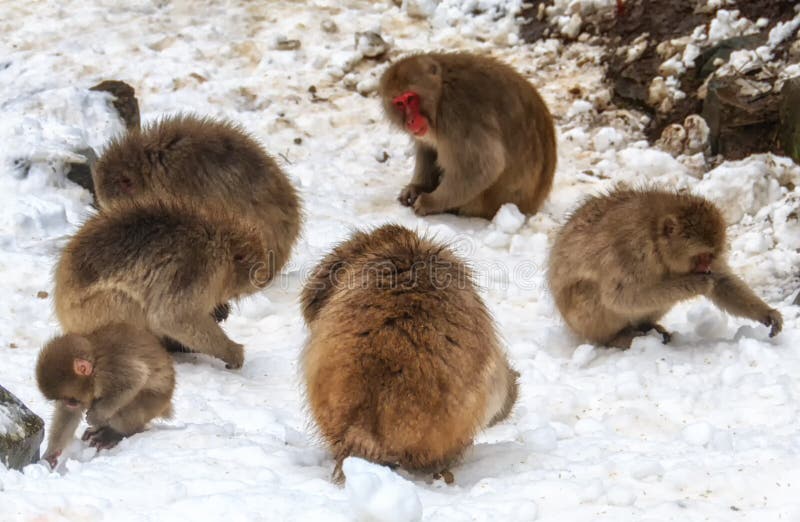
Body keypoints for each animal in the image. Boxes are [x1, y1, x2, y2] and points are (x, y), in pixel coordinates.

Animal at [36, 322, 174, 467]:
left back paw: (114, 434)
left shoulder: (108, 370)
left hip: (154, 402)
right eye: (66, 400)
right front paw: (52, 453)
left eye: (71, 398)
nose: (70, 404)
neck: (94, 361)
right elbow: (68, 415)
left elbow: (134, 379)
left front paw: (96, 415)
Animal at [54, 199, 271, 369]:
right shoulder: (195, 267)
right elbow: (172, 317)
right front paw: (234, 352)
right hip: (92, 314)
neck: (217, 244)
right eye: (256, 267)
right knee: (124, 300)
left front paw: (220, 309)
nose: (265, 277)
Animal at [378, 52, 557, 219]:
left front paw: (429, 202)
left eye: (410, 98)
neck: (440, 93)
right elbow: (427, 148)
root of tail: (533, 204)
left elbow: (484, 167)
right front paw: (417, 188)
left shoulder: (458, 115)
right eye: (399, 103)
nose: (410, 121)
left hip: (485, 204)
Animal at [547, 188, 783, 348]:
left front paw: (768, 313)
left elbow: (722, 282)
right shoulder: (631, 252)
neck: (656, 241)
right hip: (581, 319)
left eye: (711, 256)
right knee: (590, 293)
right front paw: (696, 284)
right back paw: (616, 337)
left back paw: (647, 326)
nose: (706, 267)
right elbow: (620, 297)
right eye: (701, 256)